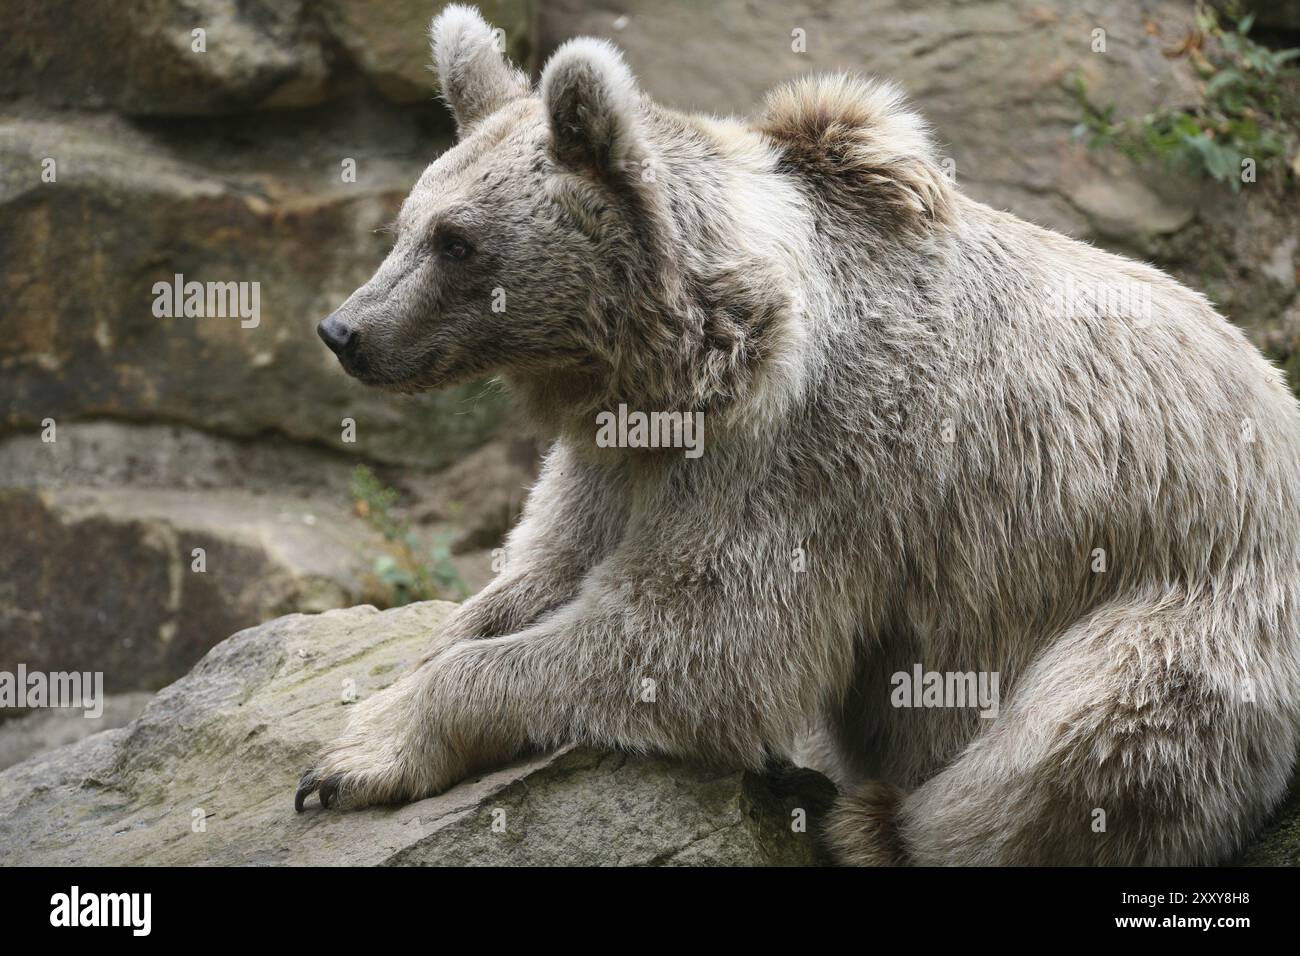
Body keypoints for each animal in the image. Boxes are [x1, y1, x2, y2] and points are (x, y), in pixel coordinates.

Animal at [300, 3, 1300, 865]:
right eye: (404, 225)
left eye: (456, 241)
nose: (345, 330)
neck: (691, 370)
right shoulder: (619, 456)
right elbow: (540, 570)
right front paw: (406, 673)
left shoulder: (818, 461)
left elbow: (698, 642)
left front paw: (356, 754)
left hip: (1195, 602)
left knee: (1077, 742)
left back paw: (875, 823)